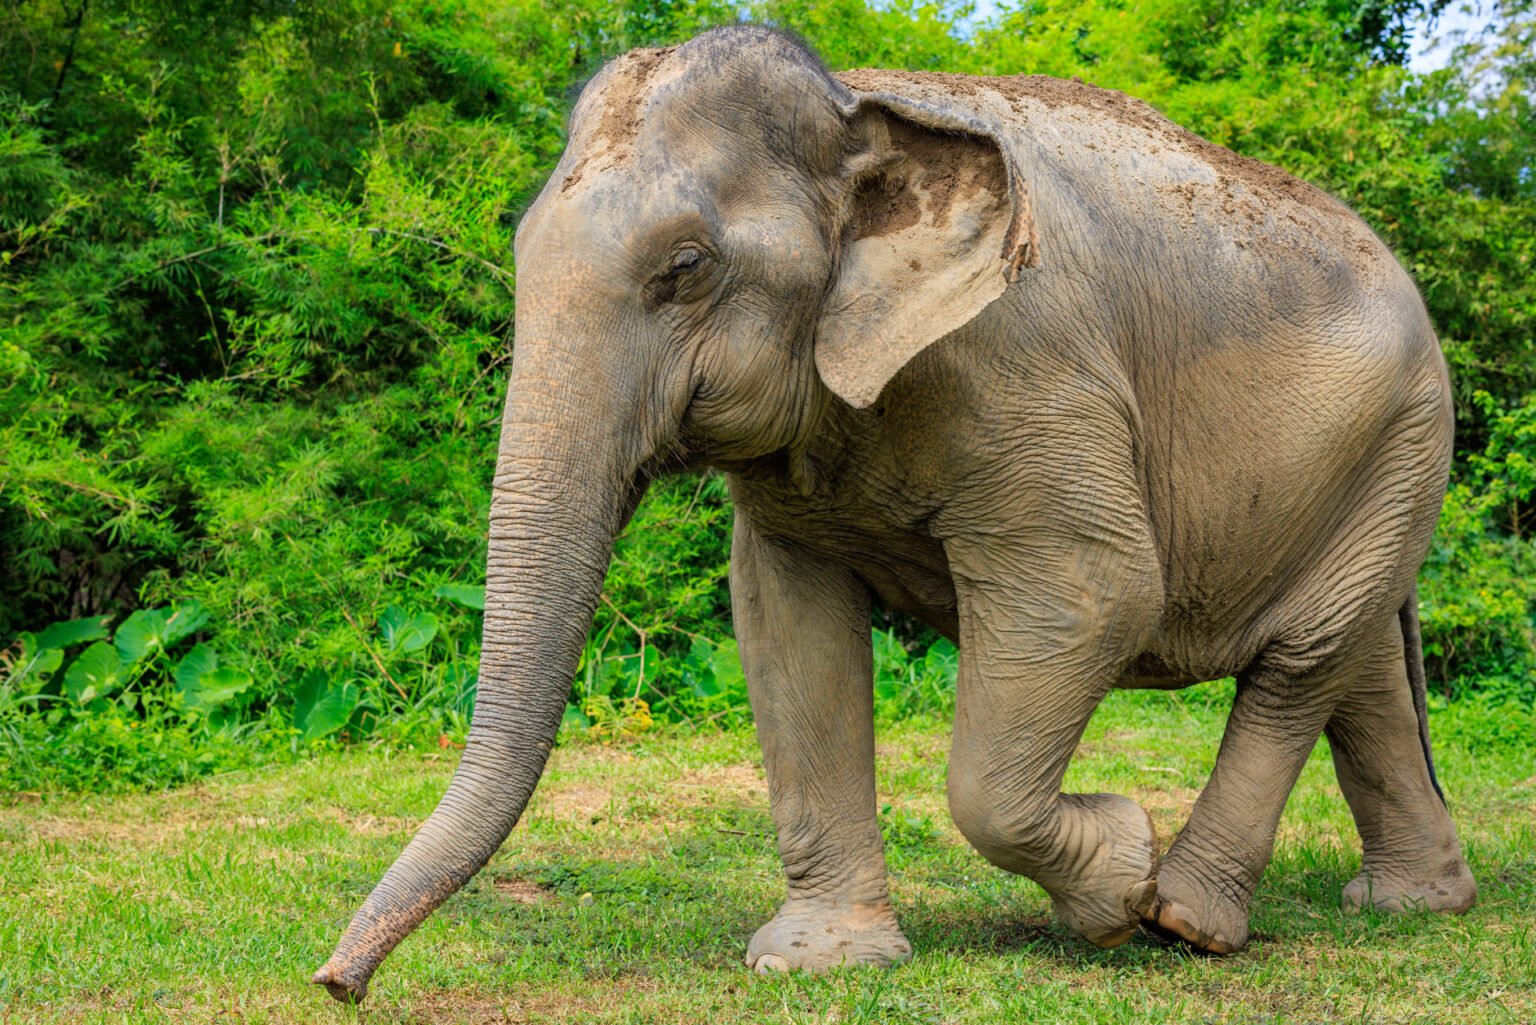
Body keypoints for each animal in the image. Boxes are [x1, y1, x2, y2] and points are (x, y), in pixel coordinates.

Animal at [312, 25, 1476, 1003]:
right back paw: (1413, 903)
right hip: (1381, 463)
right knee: (1357, 661)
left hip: (1409, 433)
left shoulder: (1026, 364)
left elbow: (1094, 592)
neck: (857, 108)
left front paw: (1117, 870)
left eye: (684, 269)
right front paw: (816, 960)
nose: (337, 981)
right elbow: (785, 623)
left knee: (1299, 659)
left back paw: (1184, 918)